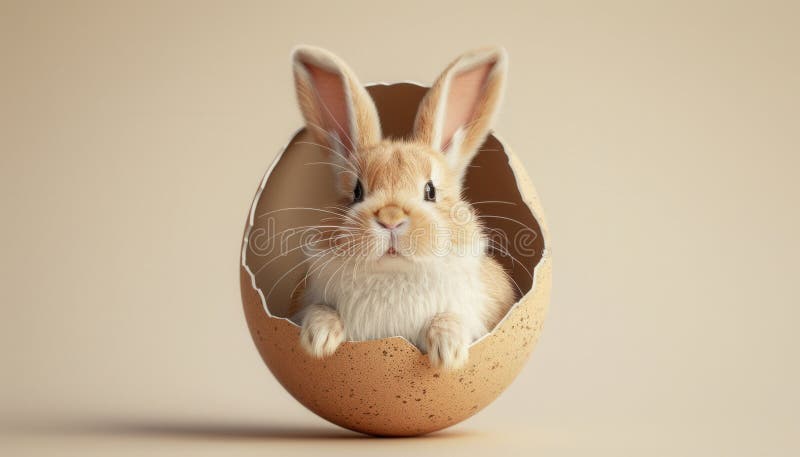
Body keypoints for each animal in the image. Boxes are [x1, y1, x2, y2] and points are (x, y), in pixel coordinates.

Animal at [289, 45, 514, 370]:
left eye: (430, 191)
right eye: (356, 191)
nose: (391, 218)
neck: (394, 274)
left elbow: (452, 318)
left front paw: (448, 352)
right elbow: (319, 309)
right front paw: (318, 340)